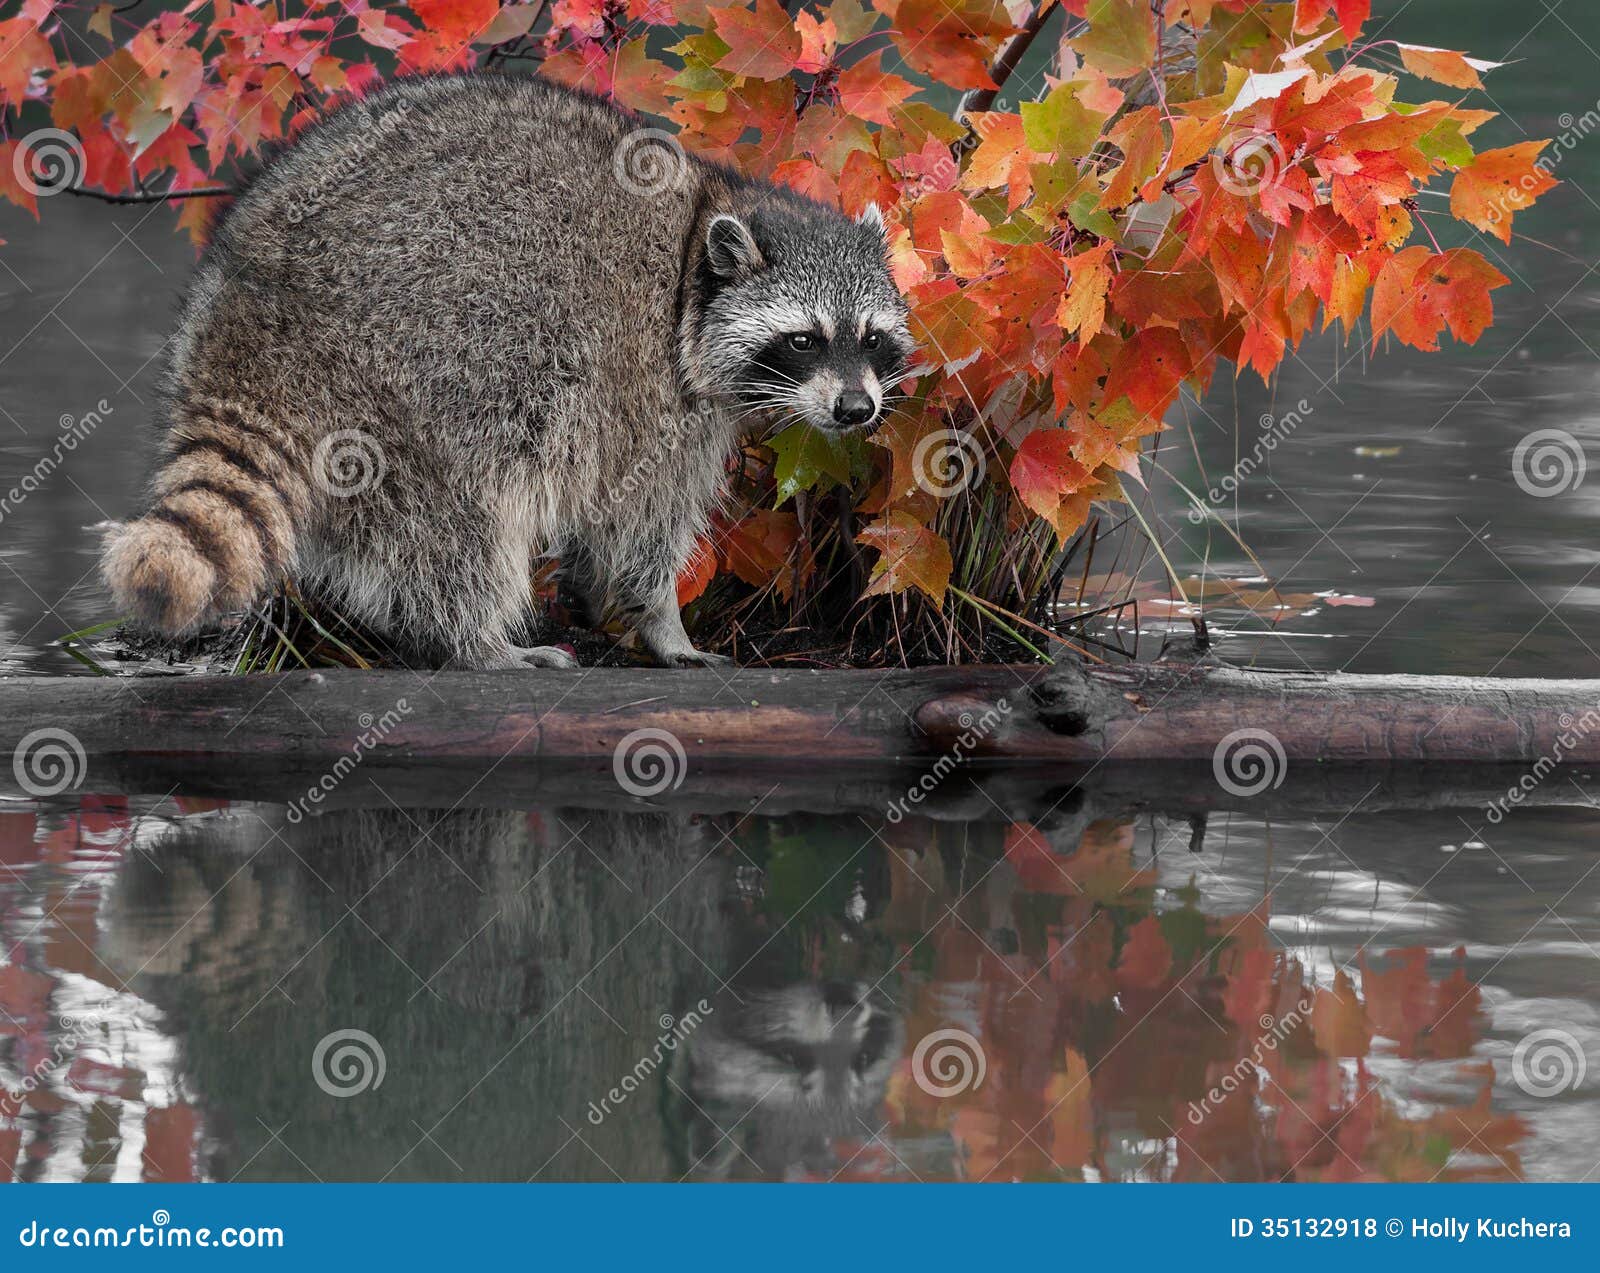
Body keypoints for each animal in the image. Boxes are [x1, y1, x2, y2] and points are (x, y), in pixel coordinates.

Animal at [100, 72, 911, 670]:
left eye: (872, 340)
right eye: (803, 340)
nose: (855, 410)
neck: (693, 256)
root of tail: (249, 298)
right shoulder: (653, 395)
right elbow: (641, 521)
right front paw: (661, 621)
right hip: (412, 376)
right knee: (459, 519)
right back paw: (475, 640)